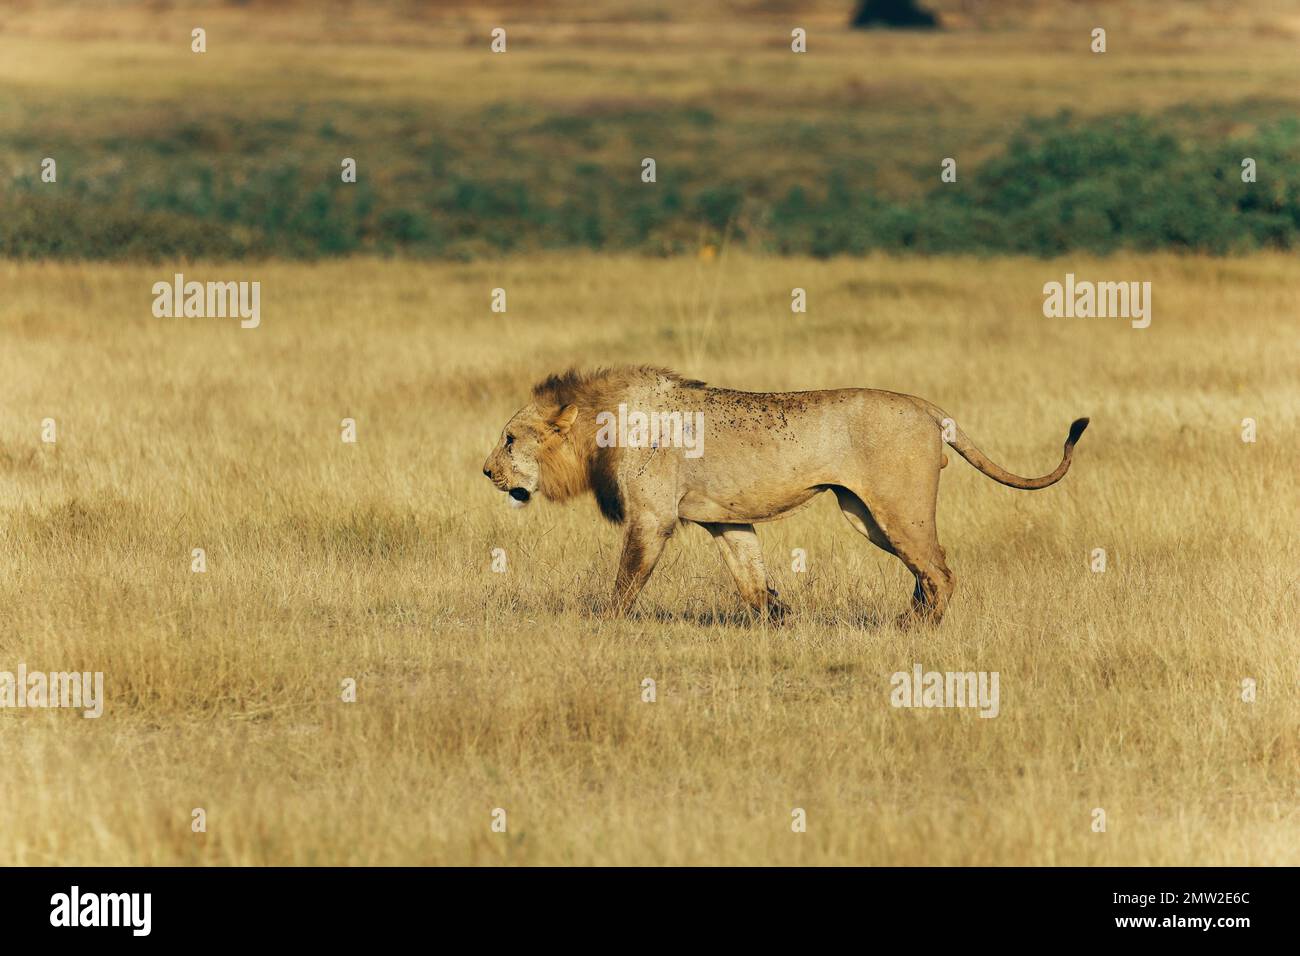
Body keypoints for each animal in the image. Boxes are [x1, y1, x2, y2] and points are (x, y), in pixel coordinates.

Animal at [482, 366, 1088, 625]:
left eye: (510, 439)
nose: (486, 472)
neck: (599, 429)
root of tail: (929, 408)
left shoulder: (651, 519)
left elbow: (626, 582)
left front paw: (602, 627)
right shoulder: (725, 520)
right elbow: (750, 579)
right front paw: (780, 619)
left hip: (898, 510)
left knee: (940, 571)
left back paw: (915, 629)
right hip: (865, 515)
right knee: (925, 570)